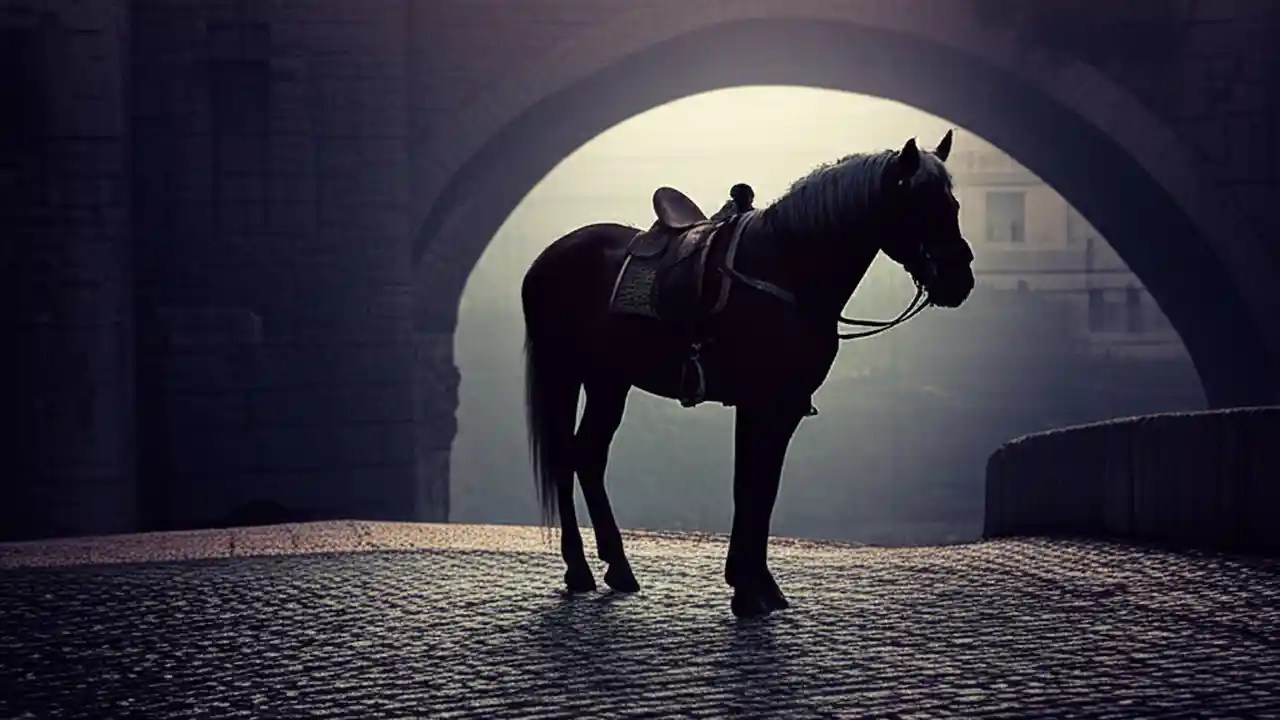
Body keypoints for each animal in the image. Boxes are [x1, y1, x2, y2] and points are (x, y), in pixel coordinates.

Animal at [520, 131, 975, 617]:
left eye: (954, 205)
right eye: (919, 205)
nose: (959, 280)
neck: (787, 268)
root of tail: (545, 259)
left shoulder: (786, 406)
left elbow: (764, 489)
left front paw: (761, 586)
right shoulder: (759, 403)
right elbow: (748, 487)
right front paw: (746, 590)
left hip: (609, 379)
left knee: (588, 455)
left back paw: (618, 568)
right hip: (563, 371)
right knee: (565, 457)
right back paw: (578, 569)